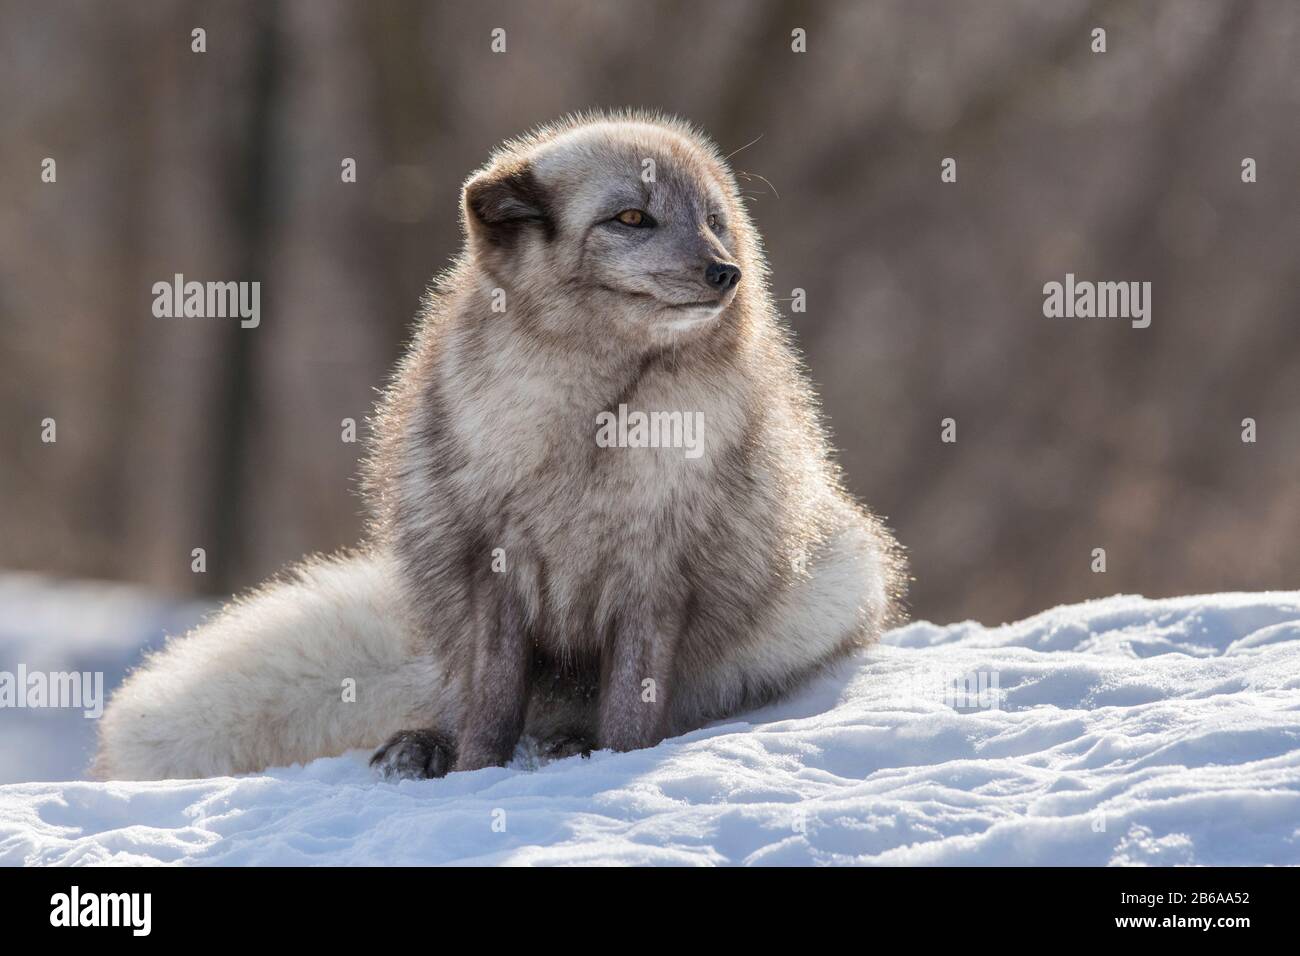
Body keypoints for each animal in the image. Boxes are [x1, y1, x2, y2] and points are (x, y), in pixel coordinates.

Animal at [94, 111, 907, 781]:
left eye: (714, 222)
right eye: (633, 217)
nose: (725, 272)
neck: (595, 423)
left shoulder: (657, 574)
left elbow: (633, 708)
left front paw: (614, 759)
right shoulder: (493, 561)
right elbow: (490, 706)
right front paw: (472, 774)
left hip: (835, 581)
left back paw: (567, 742)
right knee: (468, 698)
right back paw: (426, 746)